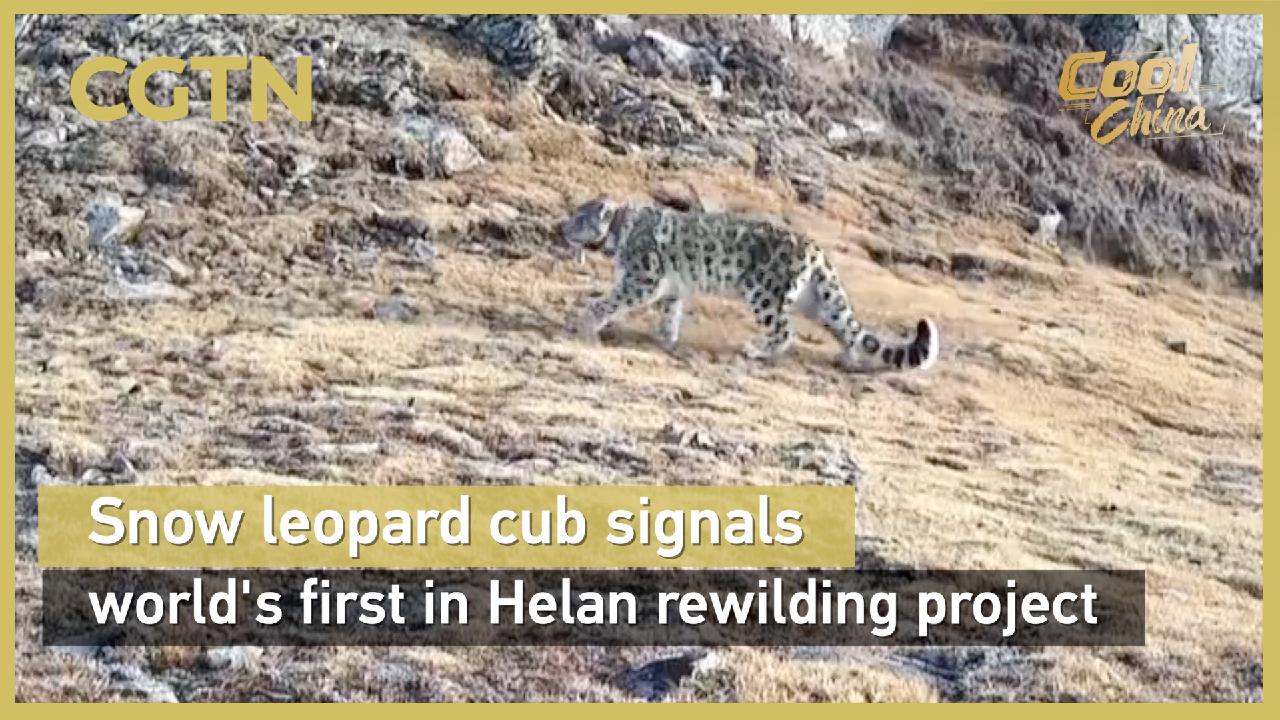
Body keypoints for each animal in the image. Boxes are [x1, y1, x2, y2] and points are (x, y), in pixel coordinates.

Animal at [560, 197, 940, 372]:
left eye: (580, 217)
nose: (562, 227)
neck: (618, 236)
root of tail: (814, 248)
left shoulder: (641, 279)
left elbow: (609, 300)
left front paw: (585, 321)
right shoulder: (671, 289)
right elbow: (671, 313)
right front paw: (666, 338)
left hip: (764, 293)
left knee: (785, 330)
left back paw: (755, 349)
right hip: (817, 300)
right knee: (847, 328)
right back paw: (848, 358)